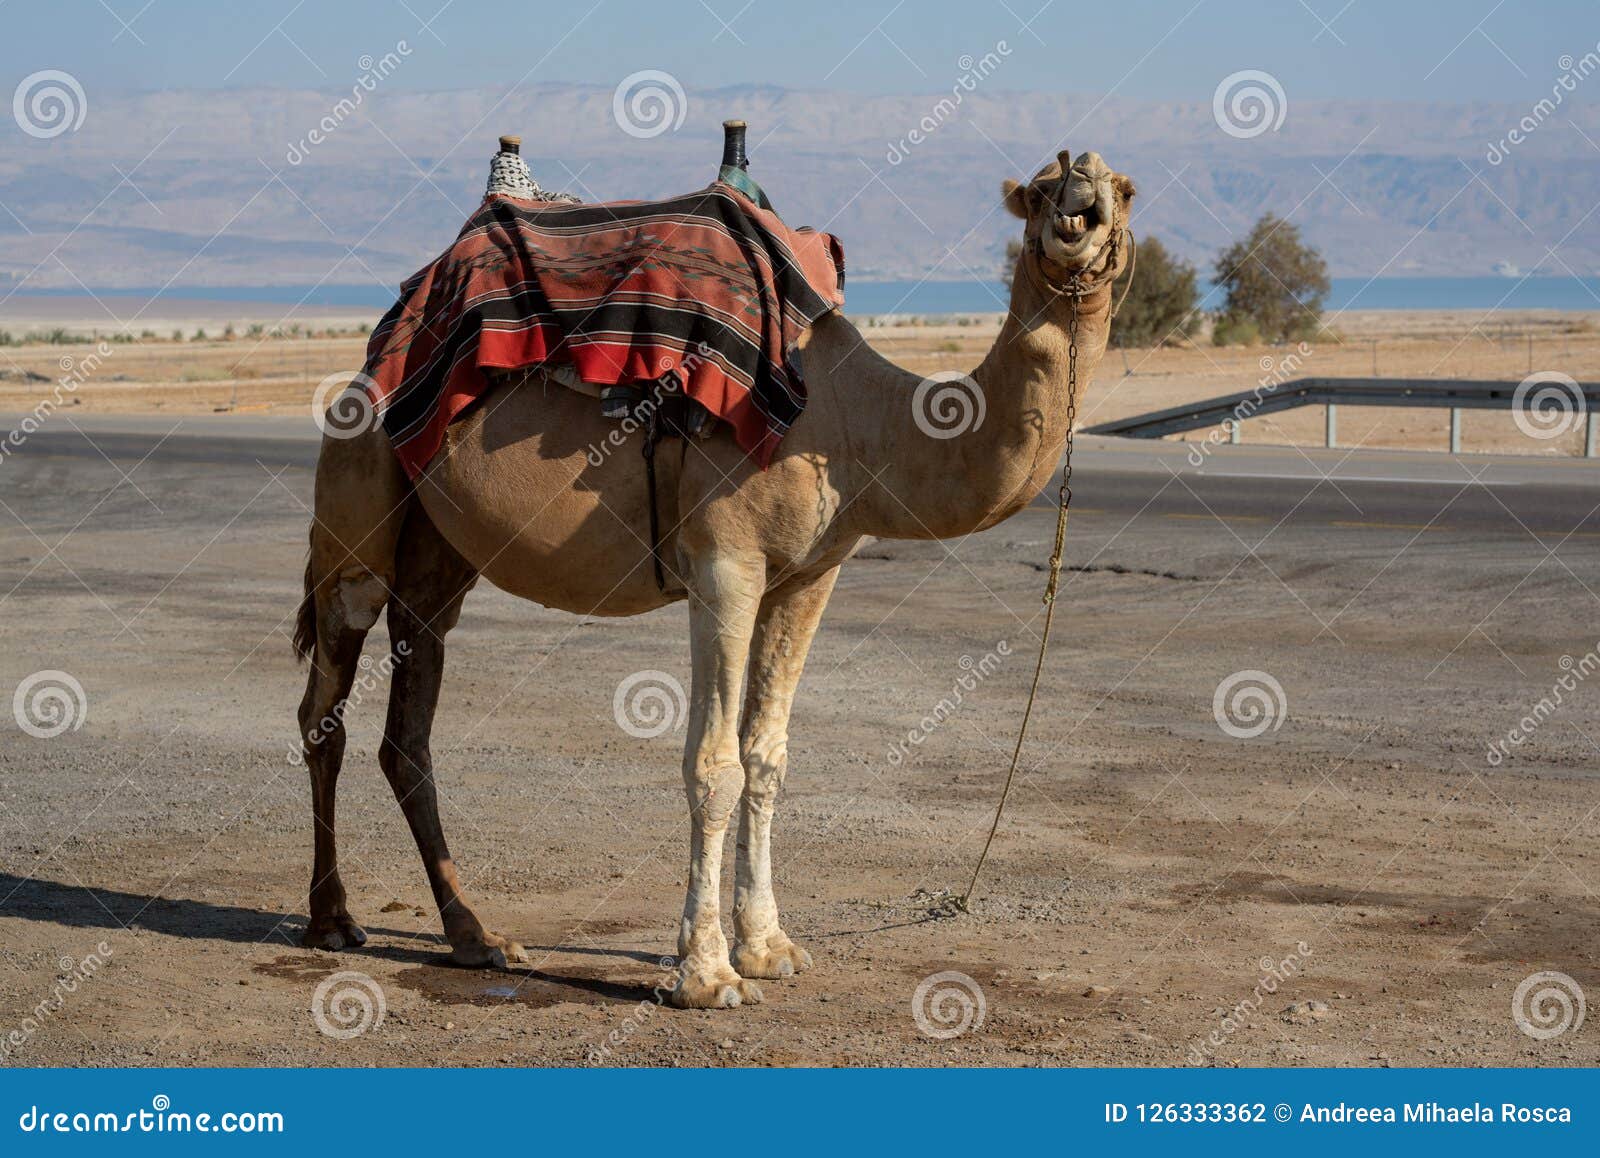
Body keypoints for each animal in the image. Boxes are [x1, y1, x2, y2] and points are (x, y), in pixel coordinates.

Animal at [293, 148, 1135, 1009]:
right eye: (1038, 193)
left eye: (1125, 191)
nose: (1081, 198)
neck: (861, 426)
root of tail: (378, 346)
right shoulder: (724, 565)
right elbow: (714, 764)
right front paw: (706, 975)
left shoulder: (809, 575)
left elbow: (767, 756)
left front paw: (767, 947)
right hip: (357, 505)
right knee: (326, 700)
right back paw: (333, 920)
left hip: (440, 552)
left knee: (410, 721)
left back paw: (476, 937)